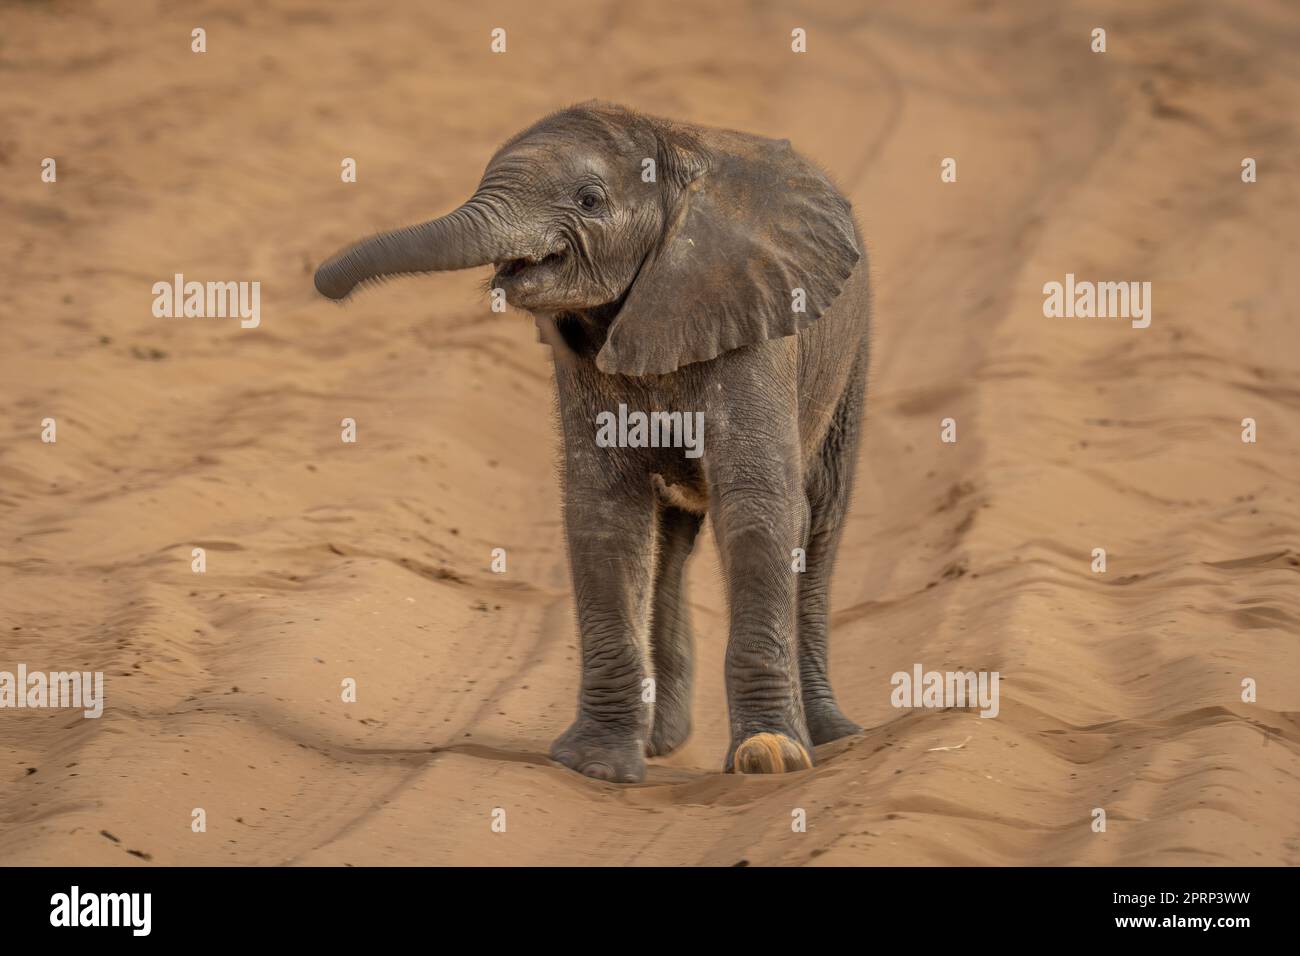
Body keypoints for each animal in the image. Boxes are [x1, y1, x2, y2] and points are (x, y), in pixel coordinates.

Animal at [315, 102, 870, 783]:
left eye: (589, 199)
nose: (323, 283)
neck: (674, 151)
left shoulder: (755, 318)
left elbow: (758, 504)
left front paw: (769, 757)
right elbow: (606, 515)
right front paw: (598, 767)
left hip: (853, 355)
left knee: (820, 523)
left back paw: (830, 736)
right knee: (673, 537)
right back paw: (663, 741)